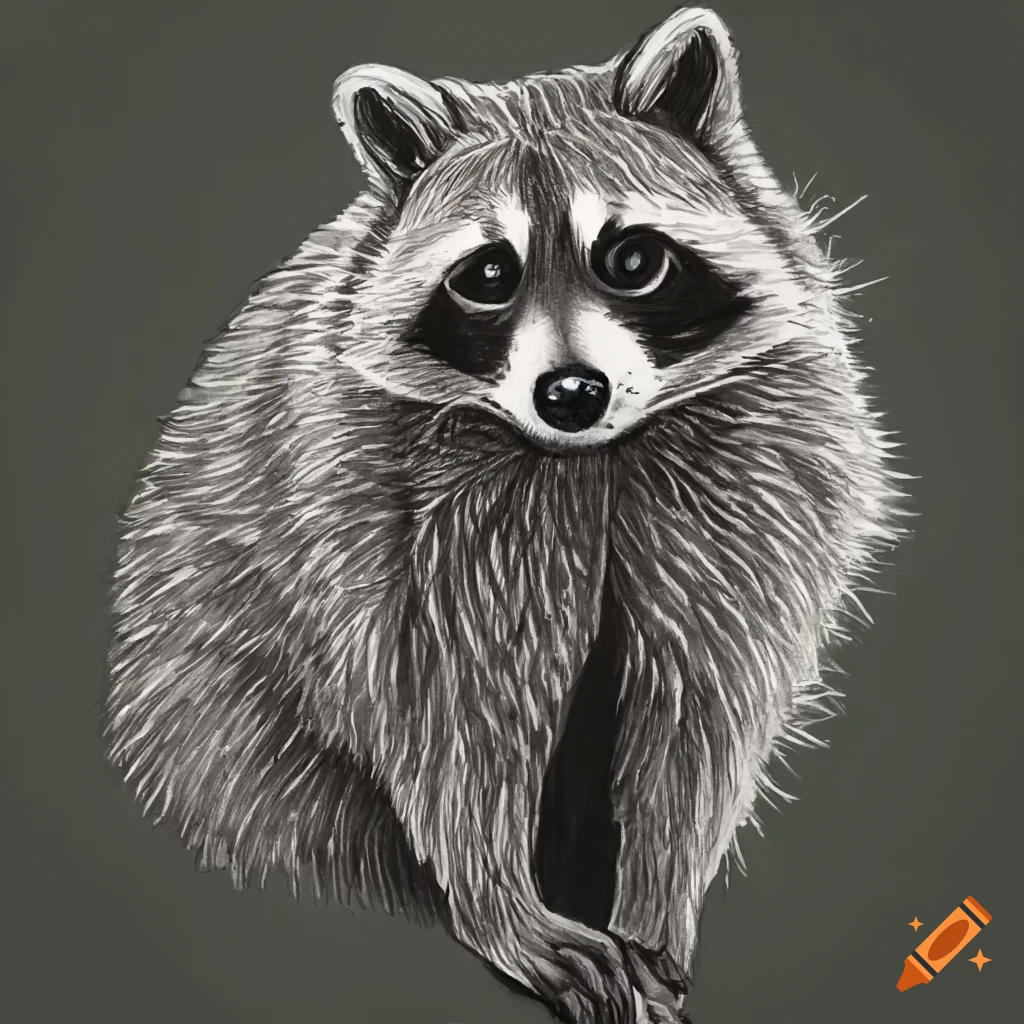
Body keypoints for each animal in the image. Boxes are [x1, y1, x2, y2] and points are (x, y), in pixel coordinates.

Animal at [103, 7, 902, 1023]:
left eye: (633, 259)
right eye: (488, 273)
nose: (571, 391)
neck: (590, 456)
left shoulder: (757, 489)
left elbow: (699, 712)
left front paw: (656, 902)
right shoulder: (384, 521)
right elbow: (450, 718)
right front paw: (501, 907)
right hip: (223, 738)